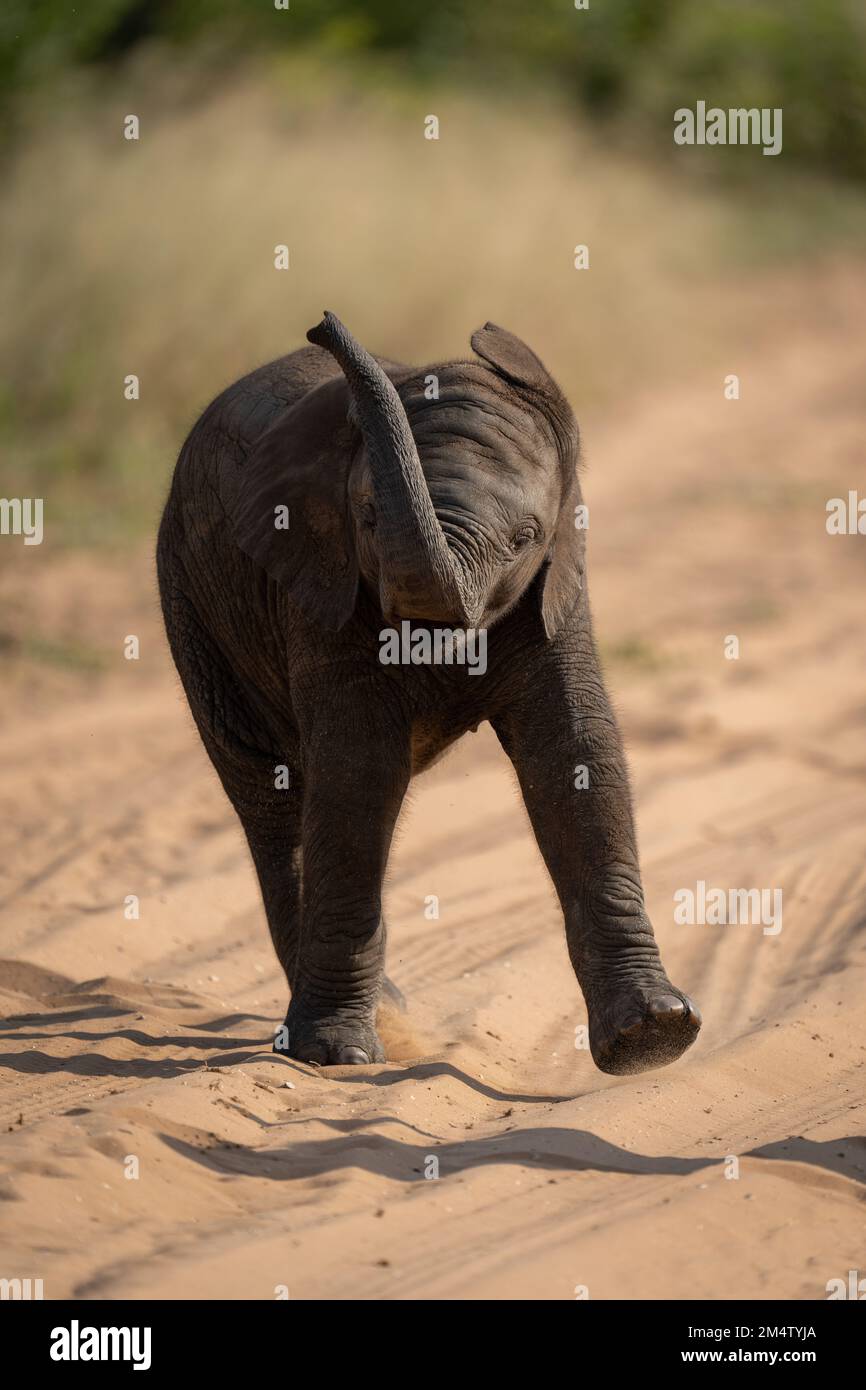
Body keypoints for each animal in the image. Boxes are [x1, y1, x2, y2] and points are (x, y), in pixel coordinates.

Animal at [156, 310, 701, 1075]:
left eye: (524, 537)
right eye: (368, 519)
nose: (322, 323)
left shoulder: (557, 586)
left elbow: (575, 753)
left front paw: (653, 1037)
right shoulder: (320, 581)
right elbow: (359, 773)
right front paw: (338, 1054)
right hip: (190, 598)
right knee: (271, 799)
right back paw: (357, 1024)